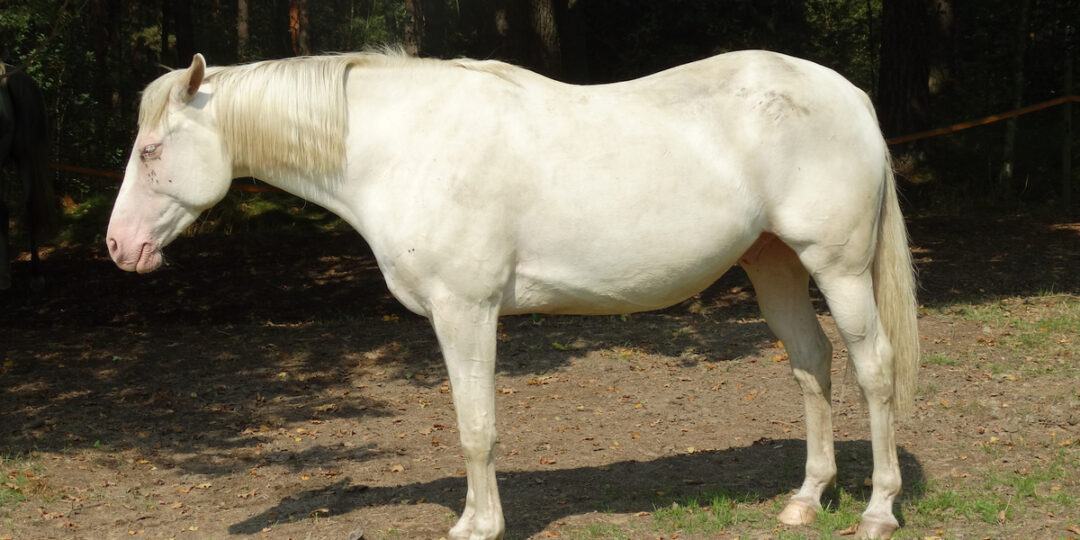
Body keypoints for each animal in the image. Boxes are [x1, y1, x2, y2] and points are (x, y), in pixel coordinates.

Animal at [106, 51, 919, 539]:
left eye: (151, 151)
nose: (119, 247)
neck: (404, 145)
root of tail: (848, 95)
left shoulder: (466, 312)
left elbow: (476, 428)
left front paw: (480, 526)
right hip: (773, 263)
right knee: (812, 365)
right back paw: (805, 500)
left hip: (839, 268)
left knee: (874, 370)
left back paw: (878, 510)